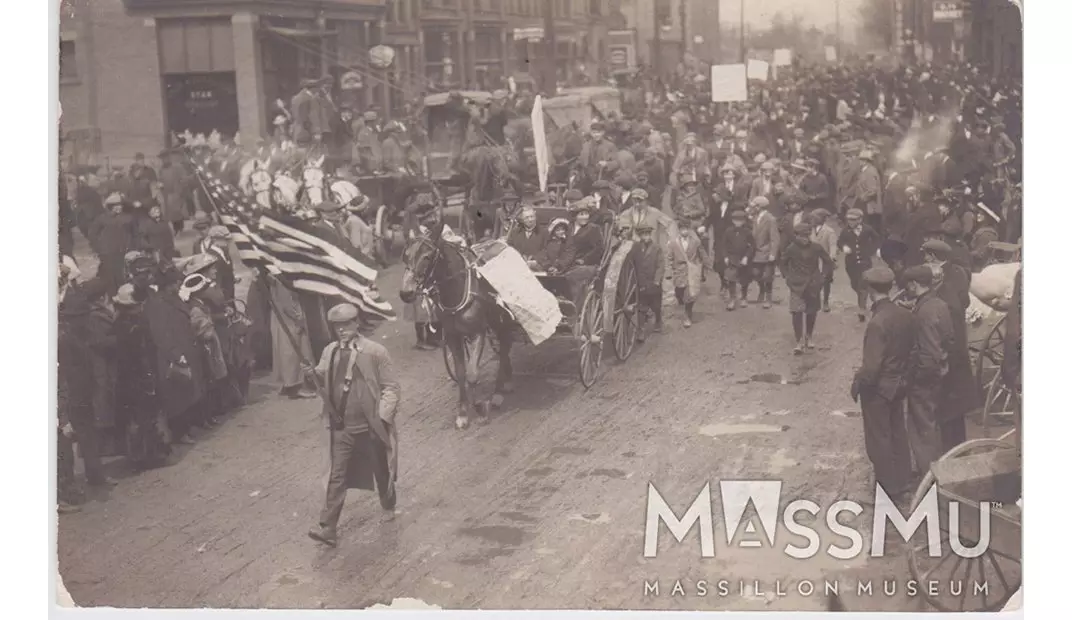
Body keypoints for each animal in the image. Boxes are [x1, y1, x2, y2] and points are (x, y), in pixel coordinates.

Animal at [398, 219, 514, 426]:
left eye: (427, 257)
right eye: (405, 255)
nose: (406, 292)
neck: (457, 289)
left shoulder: (478, 332)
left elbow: (473, 373)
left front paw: (480, 408)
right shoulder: (453, 336)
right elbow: (461, 373)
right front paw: (462, 412)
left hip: (503, 319)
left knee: (505, 345)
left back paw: (499, 390)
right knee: (503, 346)